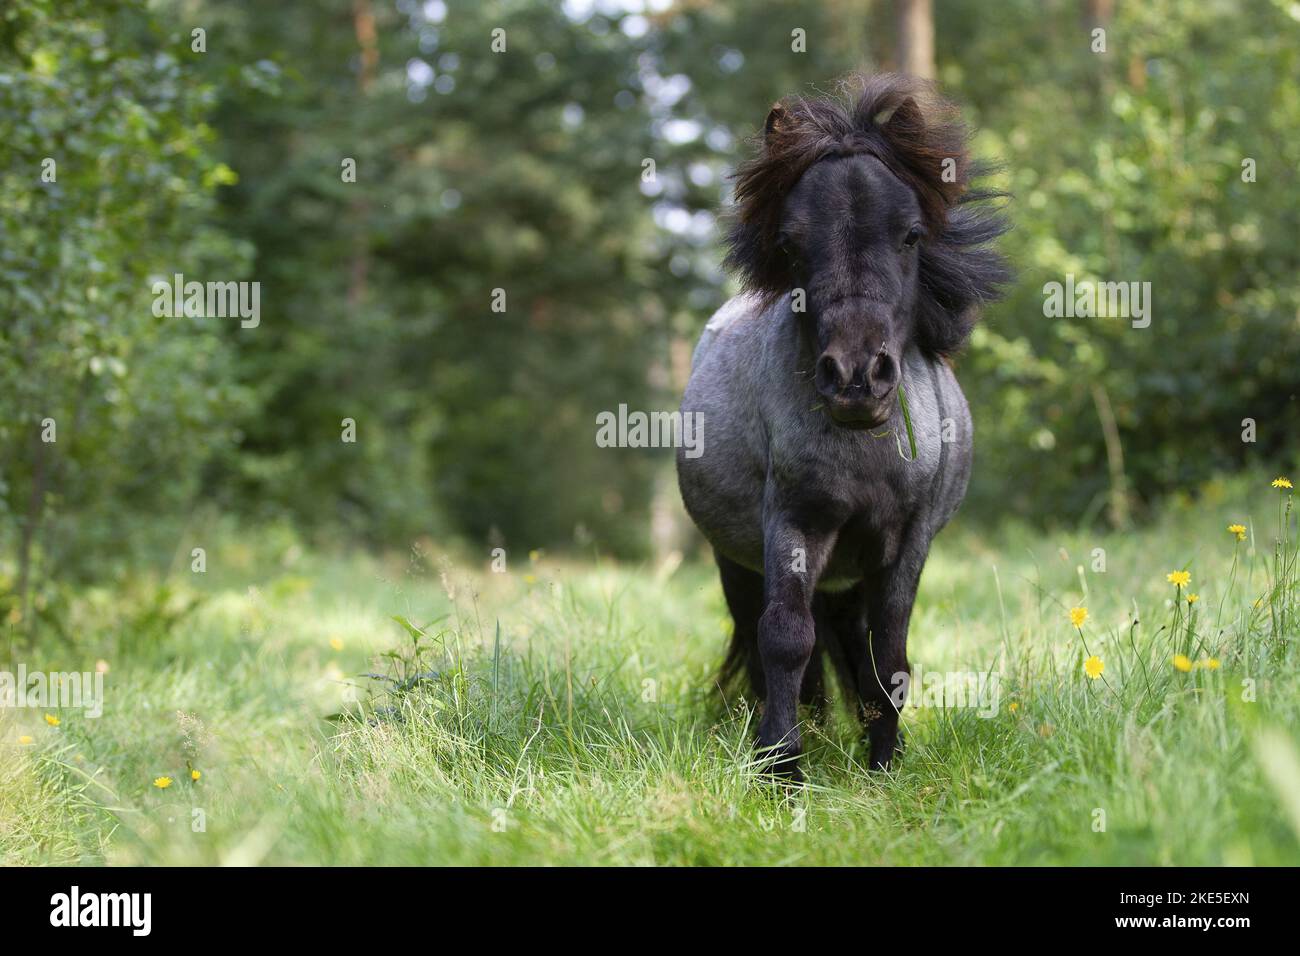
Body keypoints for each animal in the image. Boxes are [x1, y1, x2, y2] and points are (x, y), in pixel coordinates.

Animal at [676, 74, 1010, 779]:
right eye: (790, 242)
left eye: (911, 234)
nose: (857, 376)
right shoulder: (794, 524)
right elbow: (784, 639)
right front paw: (782, 769)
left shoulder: (908, 543)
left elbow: (890, 655)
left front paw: (883, 766)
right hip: (740, 563)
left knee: (856, 644)